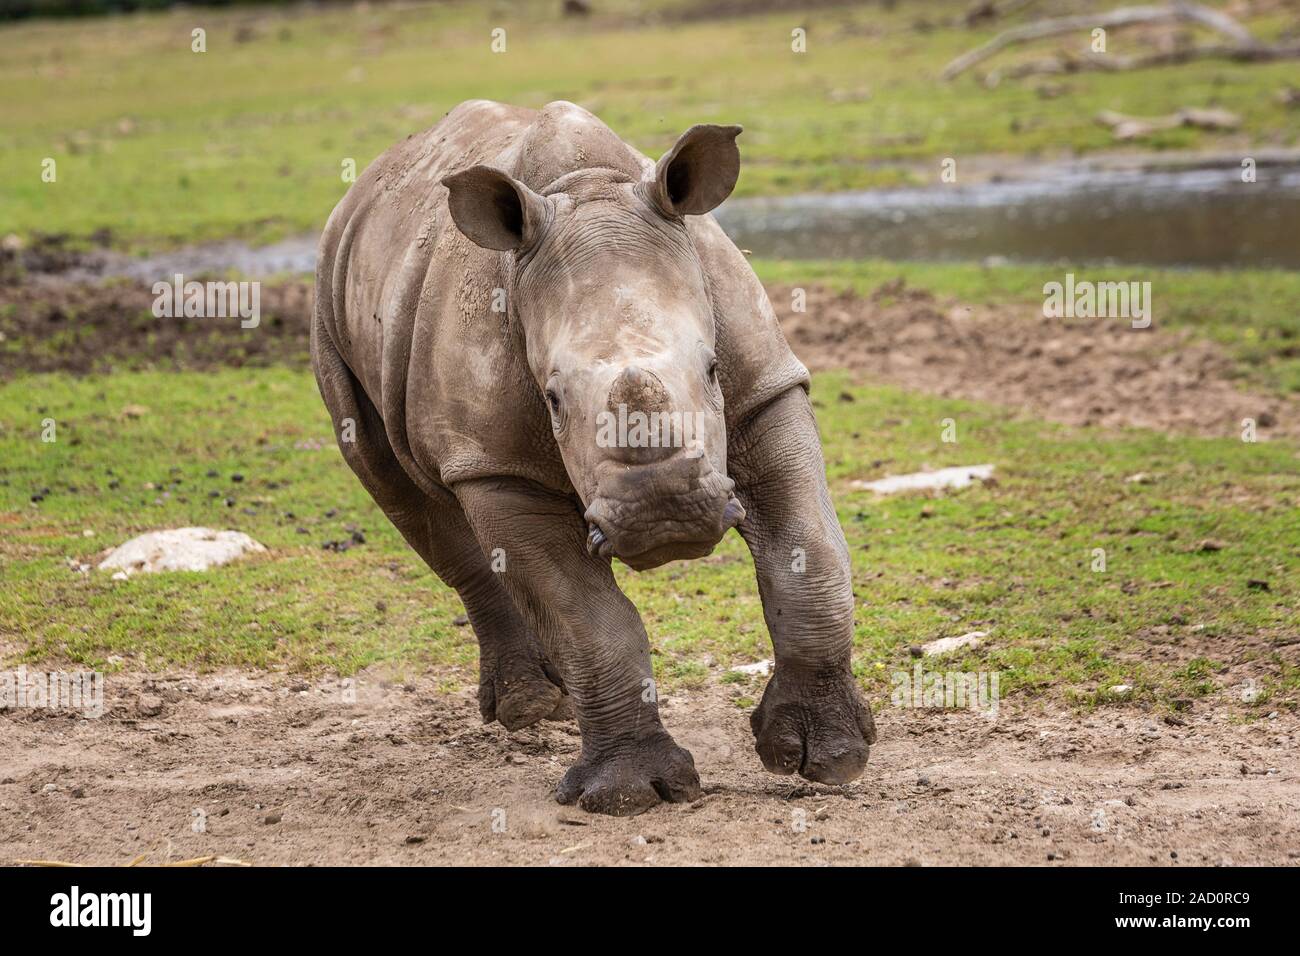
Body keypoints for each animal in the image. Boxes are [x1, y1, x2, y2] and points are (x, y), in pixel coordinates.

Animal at [312, 100, 875, 815]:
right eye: (553, 399)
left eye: (712, 369)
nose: (665, 516)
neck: (586, 190)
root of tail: (362, 190)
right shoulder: (498, 465)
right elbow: (587, 618)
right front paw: (634, 794)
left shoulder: (765, 392)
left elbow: (809, 552)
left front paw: (825, 757)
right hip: (330, 309)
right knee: (404, 494)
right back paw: (529, 709)